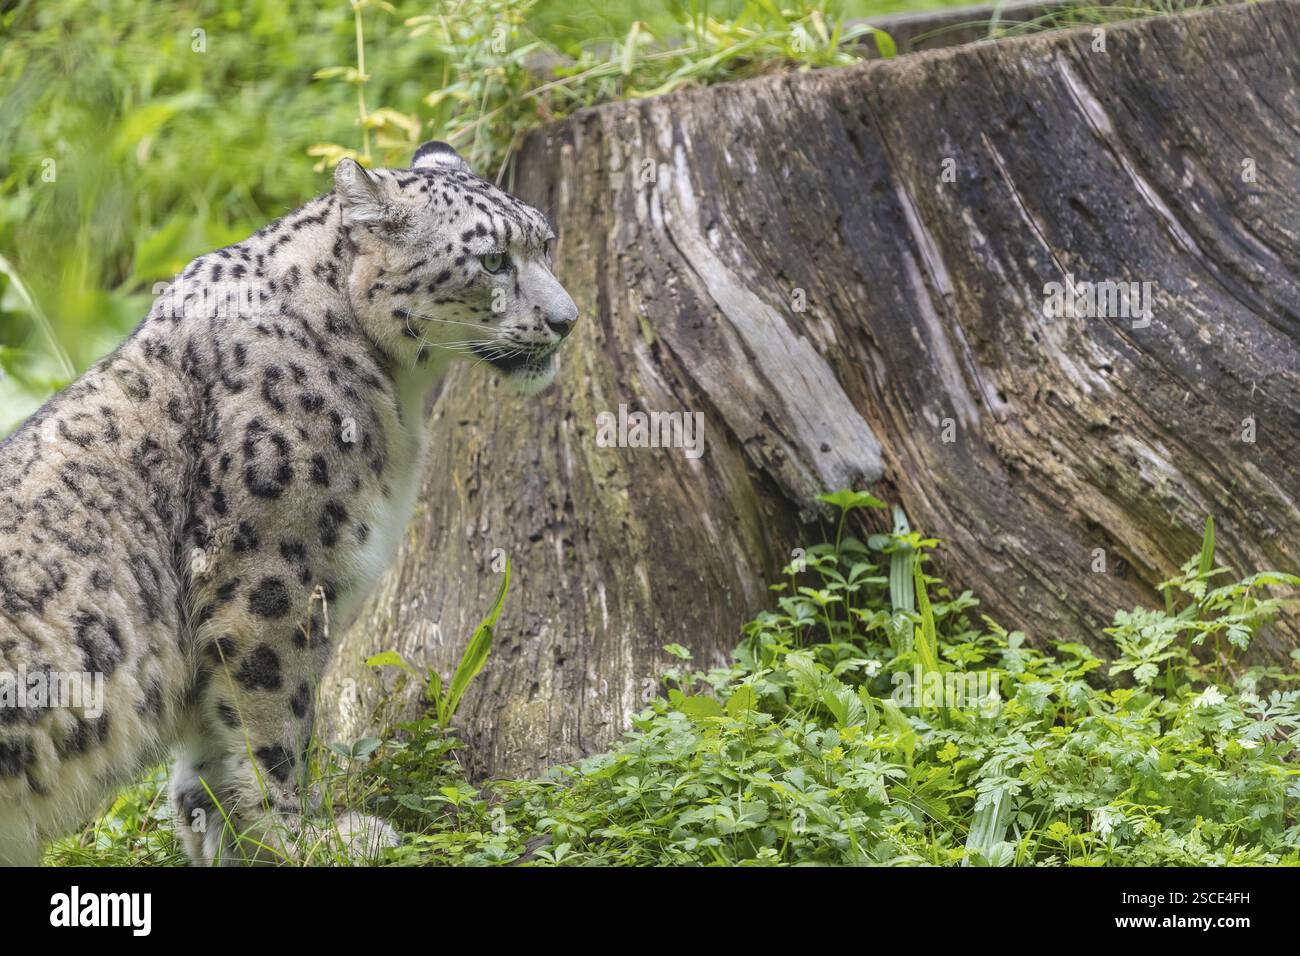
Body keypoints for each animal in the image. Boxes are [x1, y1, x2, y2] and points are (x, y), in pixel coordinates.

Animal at [0, 141, 577, 865]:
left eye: (546, 242)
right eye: (494, 258)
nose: (567, 320)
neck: (397, 399)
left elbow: (207, 757)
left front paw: (228, 836)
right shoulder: (266, 584)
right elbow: (272, 722)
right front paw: (305, 835)